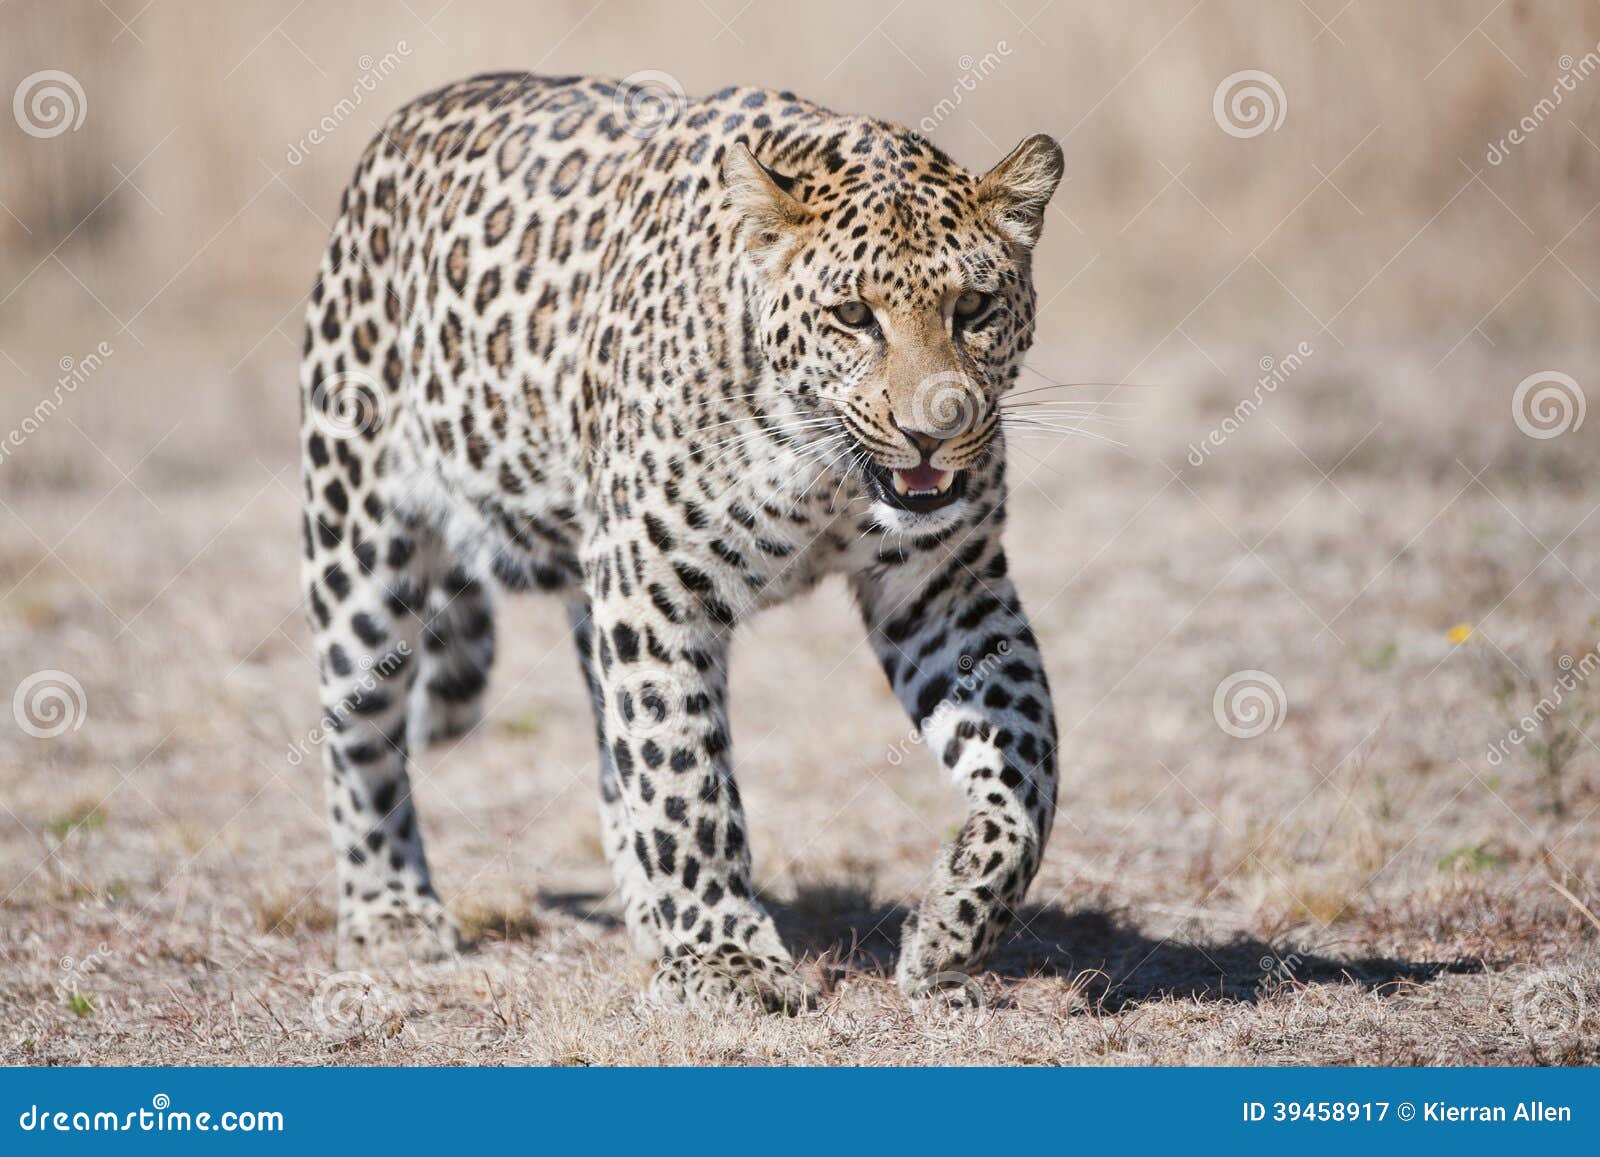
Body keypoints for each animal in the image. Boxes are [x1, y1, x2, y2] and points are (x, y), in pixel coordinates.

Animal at [297, 72, 1064, 1012]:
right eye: (853, 315)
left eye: (975, 307)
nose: (933, 432)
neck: (824, 472)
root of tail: (412, 118)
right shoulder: (654, 585)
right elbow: (683, 778)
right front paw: (727, 959)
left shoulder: (948, 589)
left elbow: (1029, 764)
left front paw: (952, 928)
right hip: (362, 541)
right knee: (362, 733)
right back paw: (391, 910)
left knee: (609, 745)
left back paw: (645, 916)